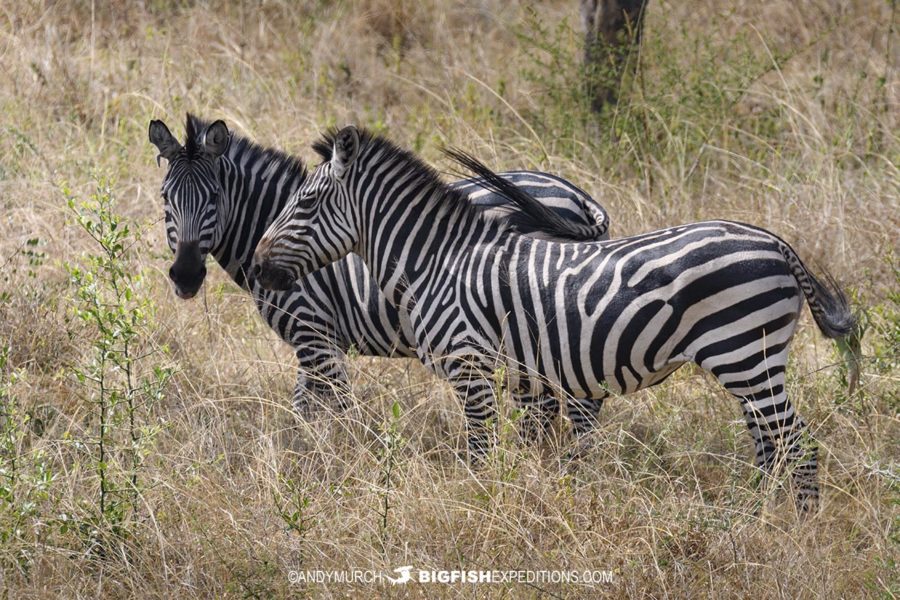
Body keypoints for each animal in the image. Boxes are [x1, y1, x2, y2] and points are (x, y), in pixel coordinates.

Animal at [148, 114, 611, 423]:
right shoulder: (317, 342)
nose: (185, 276)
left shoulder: (314, 332)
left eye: (213, 198)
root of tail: (579, 197)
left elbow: (331, 409)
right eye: (165, 197)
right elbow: (303, 412)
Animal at [251, 125, 860, 512]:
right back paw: (754, 519)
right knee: (772, 446)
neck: (437, 262)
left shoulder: (470, 366)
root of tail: (776, 243)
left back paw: (796, 531)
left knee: (798, 447)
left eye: (305, 203)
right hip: (750, 360)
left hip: (743, 351)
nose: (257, 265)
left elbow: (480, 452)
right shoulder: (518, 372)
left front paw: (481, 507)